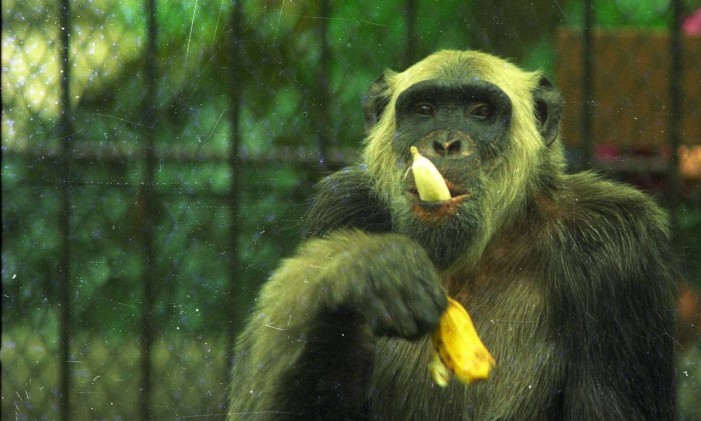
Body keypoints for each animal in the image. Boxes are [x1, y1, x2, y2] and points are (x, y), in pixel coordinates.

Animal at [227, 50, 676, 420]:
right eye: (425, 110)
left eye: (481, 111)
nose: (445, 142)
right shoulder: (339, 208)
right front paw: (370, 270)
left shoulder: (615, 249)